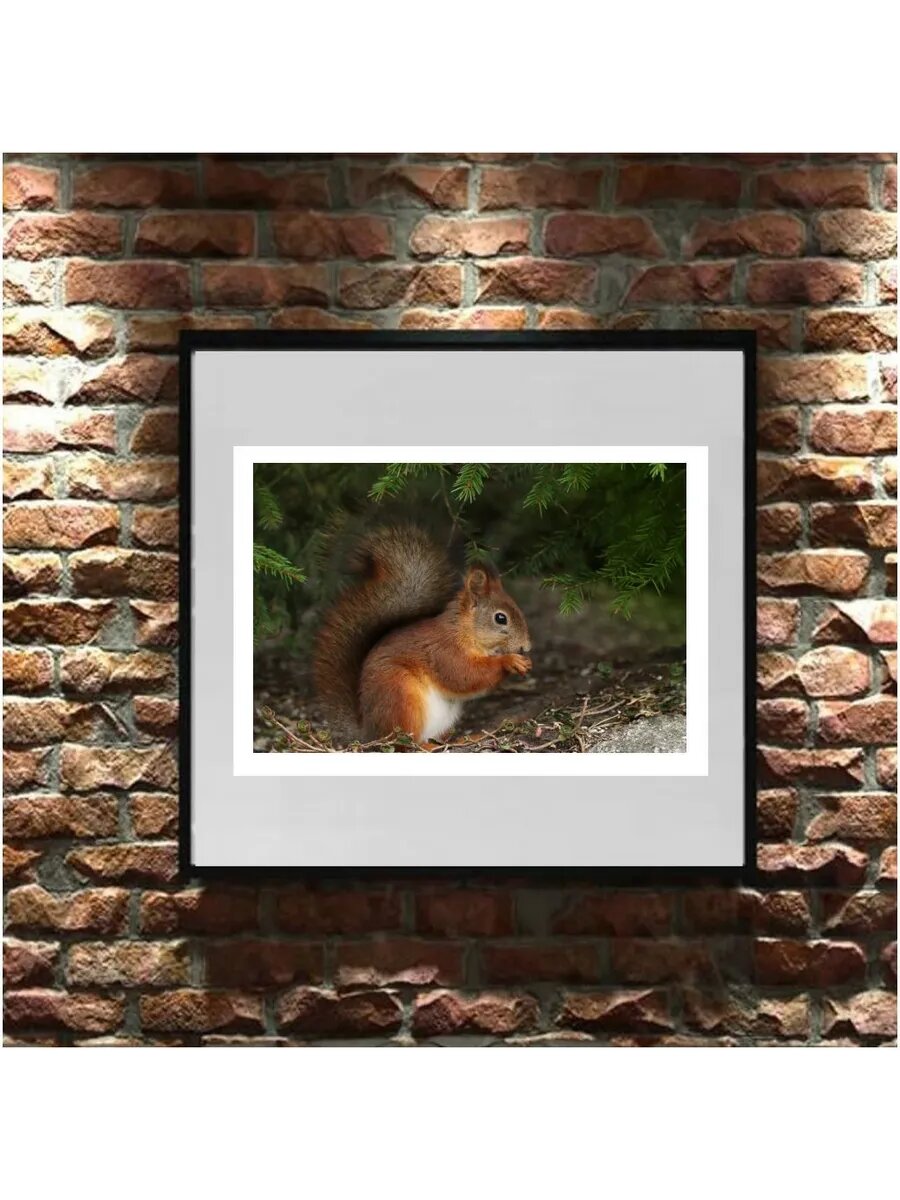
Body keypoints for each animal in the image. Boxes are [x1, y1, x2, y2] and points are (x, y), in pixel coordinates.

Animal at [313, 525, 532, 745]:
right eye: (501, 618)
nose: (526, 647)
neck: (465, 631)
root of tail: (370, 733)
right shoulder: (443, 651)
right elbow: (463, 675)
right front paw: (509, 661)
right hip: (400, 695)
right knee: (404, 743)